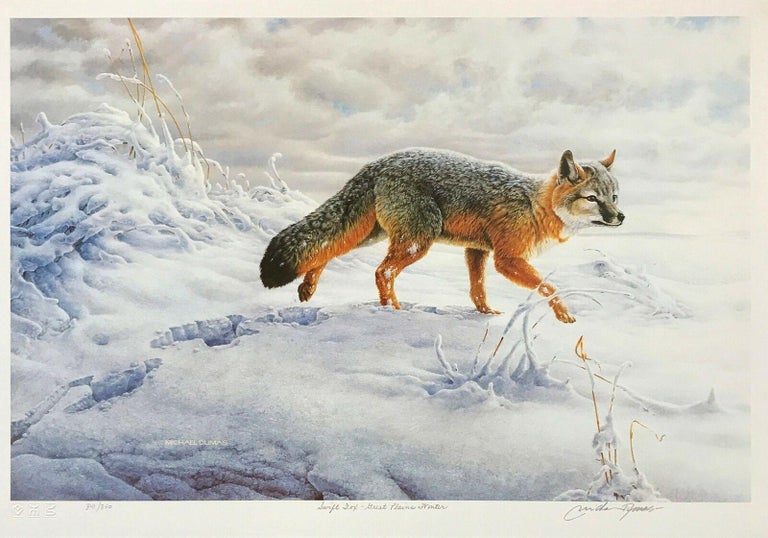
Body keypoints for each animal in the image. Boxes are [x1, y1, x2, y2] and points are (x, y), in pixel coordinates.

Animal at [260, 148, 624, 323]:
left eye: (614, 197)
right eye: (593, 199)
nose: (621, 217)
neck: (535, 204)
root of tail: (378, 162)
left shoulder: (477, 251)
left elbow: (477, 290)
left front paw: (486, 314)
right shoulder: (507, 259)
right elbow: (549, 286)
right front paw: (564, 314)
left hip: (374, 235)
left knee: (330, 249)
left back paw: (308, 288)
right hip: (419, 239)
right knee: (382, 271)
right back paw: (393, 311)